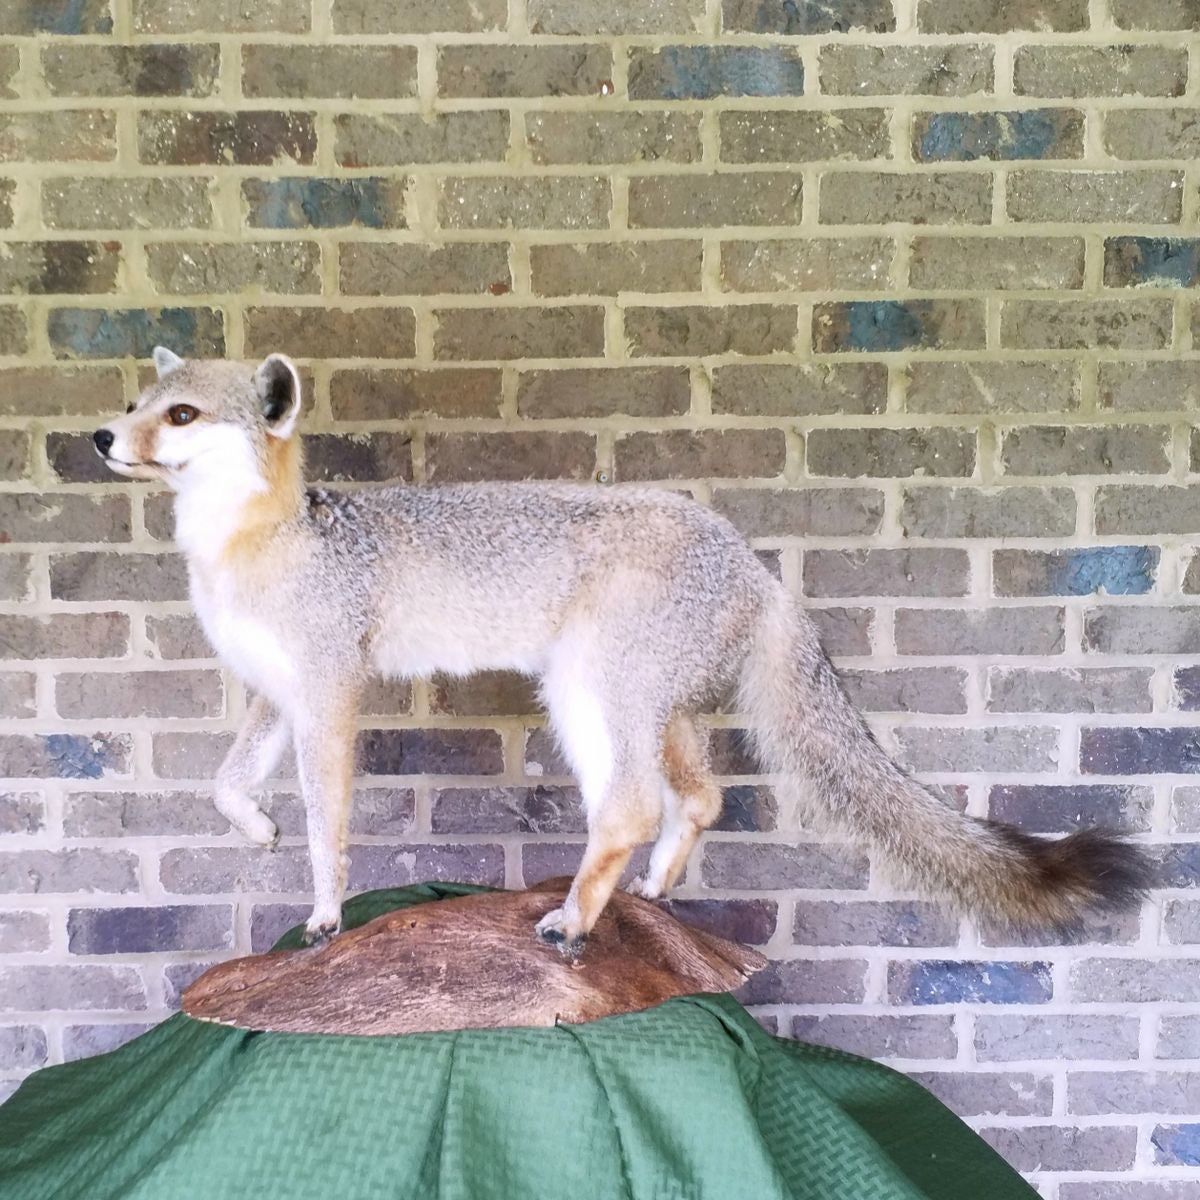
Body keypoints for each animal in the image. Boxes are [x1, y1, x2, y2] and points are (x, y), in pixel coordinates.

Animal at [94, 348, 1152, 954]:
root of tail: (749, 557)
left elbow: (329, 829)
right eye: (140, 399)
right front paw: (256, 829)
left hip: (588, 694)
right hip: (643, 707)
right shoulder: (278, 694)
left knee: (635, 805)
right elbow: (225, 786)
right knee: (700, 797)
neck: (252, 544)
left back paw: (576, 918)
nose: (101, 433)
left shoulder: (331, 693)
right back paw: (644, 893)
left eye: (181, 416)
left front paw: (321, 915)